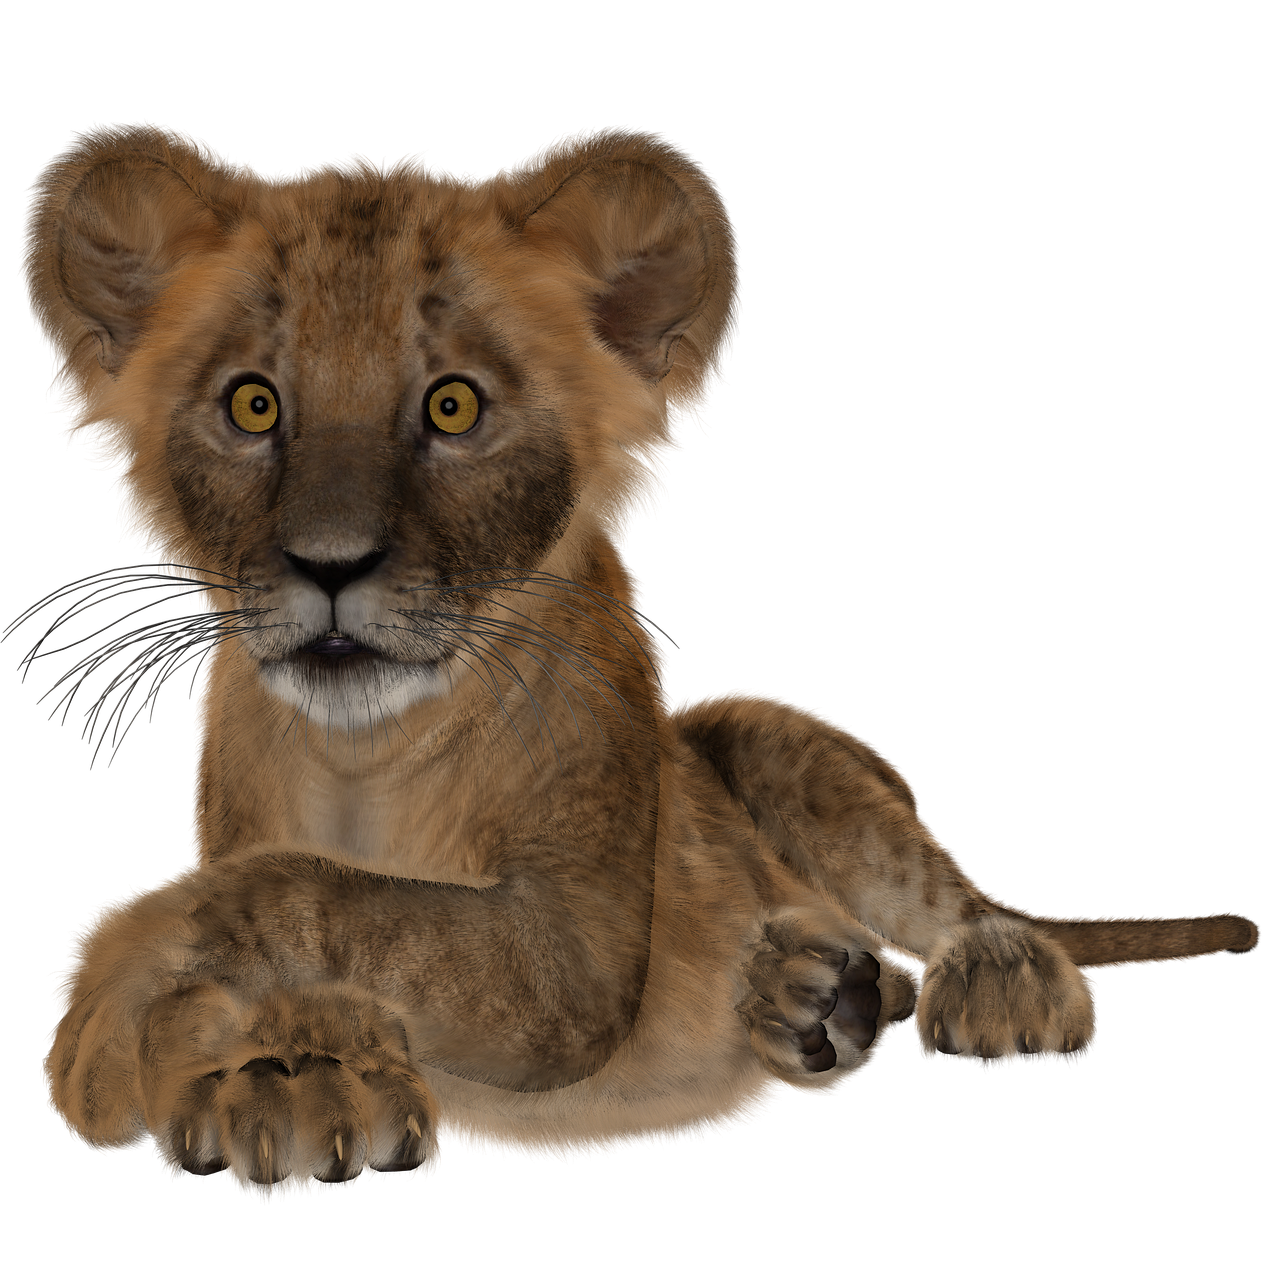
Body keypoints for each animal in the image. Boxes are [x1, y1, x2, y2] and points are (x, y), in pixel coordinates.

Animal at [10, 124, 1259, 1196]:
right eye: (254, 404)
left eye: (452, 405)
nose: (331, 563)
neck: (365, 752)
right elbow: (315, 907)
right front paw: (277, 1076)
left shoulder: (572, 959)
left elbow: (318, 890)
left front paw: (117, 993)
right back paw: (808, 995)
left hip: (773, 736)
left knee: (947, 910)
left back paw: (976, 985)